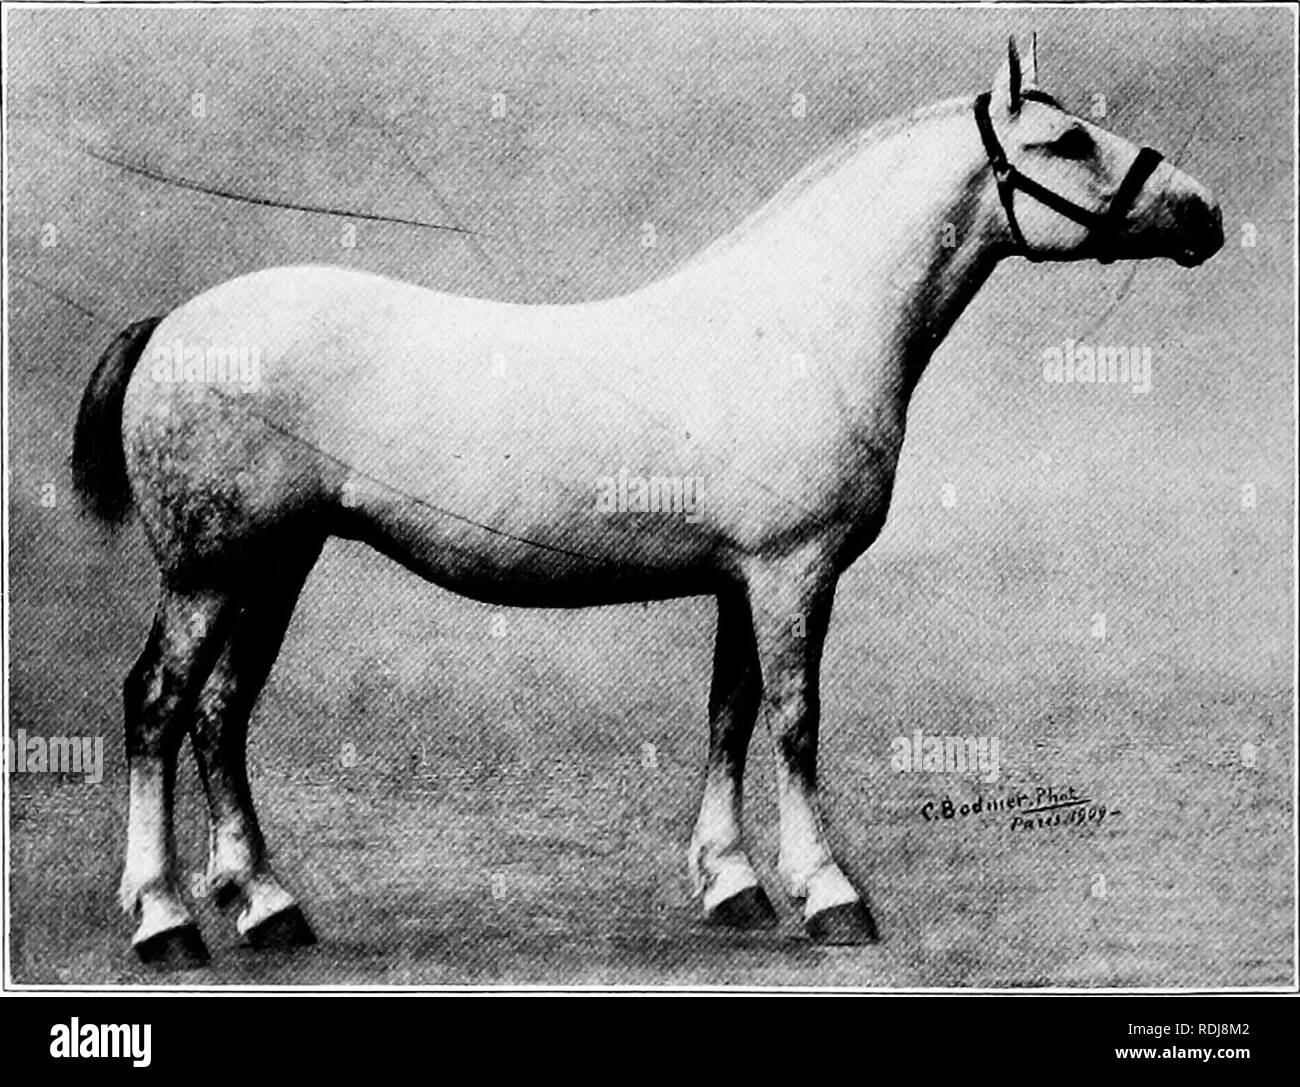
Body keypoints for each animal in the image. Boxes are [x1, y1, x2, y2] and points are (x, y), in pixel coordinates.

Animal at [71, 37, 1223, 967]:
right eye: (1067, 139)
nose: (1204, 213)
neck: (797, 325)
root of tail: (175, 324)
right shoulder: (791, 568)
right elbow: (795, 721)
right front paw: (829, 894)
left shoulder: (742, 579)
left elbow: (729, 712)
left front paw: (731, 883)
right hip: (210, 572)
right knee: (158, 706)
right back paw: (165, 920)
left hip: (275, 564)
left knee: (222, 714)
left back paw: (264, 905)